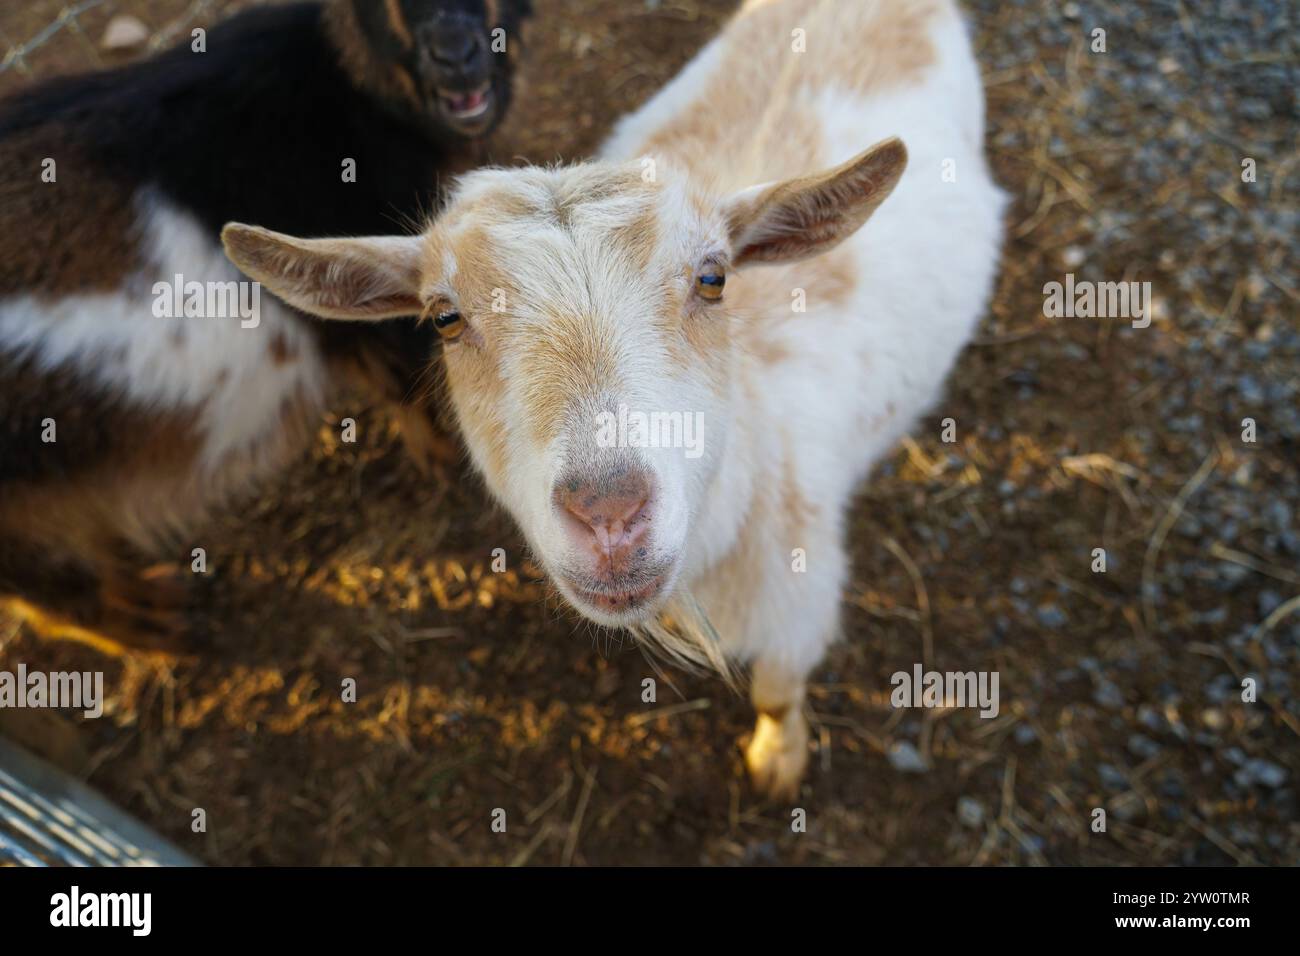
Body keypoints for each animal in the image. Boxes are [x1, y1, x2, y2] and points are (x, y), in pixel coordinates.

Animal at [224, 0, 1007, 796]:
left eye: (714, 277)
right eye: (445, 316)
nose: (609, 514)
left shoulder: (799, 595)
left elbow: (778, 689)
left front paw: (777, 760)